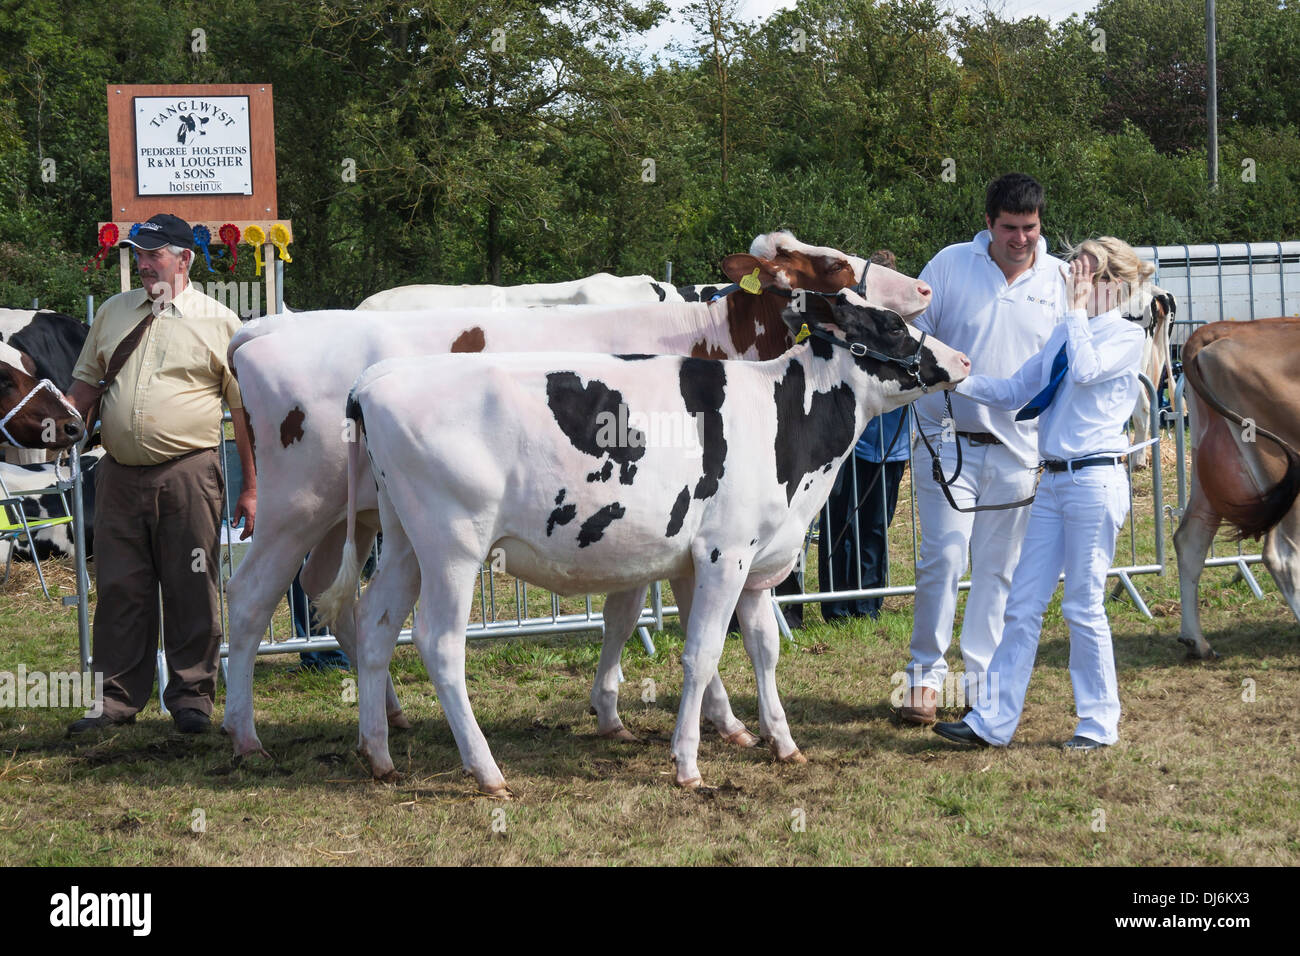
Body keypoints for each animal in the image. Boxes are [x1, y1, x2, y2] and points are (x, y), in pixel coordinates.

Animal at [221, 232, 934, 761]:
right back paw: (244, 733)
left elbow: (625, 614)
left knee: (335, 597)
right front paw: (719, 722)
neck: (704, 335)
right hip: (291, 512)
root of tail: (264, 330)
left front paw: (626, 712)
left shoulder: (648, 526)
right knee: (252, 599)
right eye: (834, 265)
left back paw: (385, 716)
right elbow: (685, 622)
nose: (923, 287)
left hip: (354, 519)